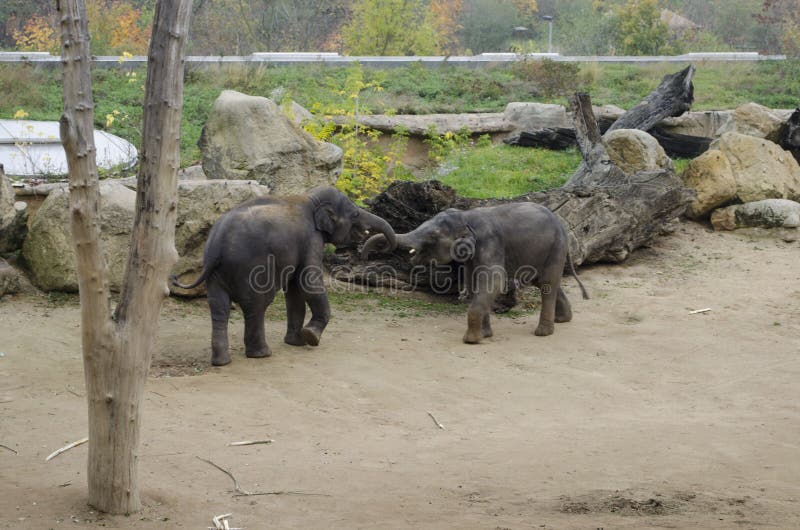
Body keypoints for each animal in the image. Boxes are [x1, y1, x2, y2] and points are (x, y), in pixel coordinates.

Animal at [172, 185, 396, 366]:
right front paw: (311, 337)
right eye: (355, 214)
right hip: (251, 268)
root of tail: (217, 242)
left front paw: (296, 343)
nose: (369, 253)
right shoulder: (311, 239)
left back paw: (222, 362)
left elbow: (295, 289)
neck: (310, 197)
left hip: (215, 273)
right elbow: (308, 282)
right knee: (257, 305)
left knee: (220, 308)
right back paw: (262, 354)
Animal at [361, 202, 588, 343]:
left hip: (556, 246)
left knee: (547, 282)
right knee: (541, 281)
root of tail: (562, 224)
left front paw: (471, 340)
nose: (362, 253)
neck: (465, 216)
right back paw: (563, 319)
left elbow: (494, 280)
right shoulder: (472, 255)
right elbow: (473, 283)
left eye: (432, 236)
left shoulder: (491, 243)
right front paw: (485, 335)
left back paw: (543, 333)